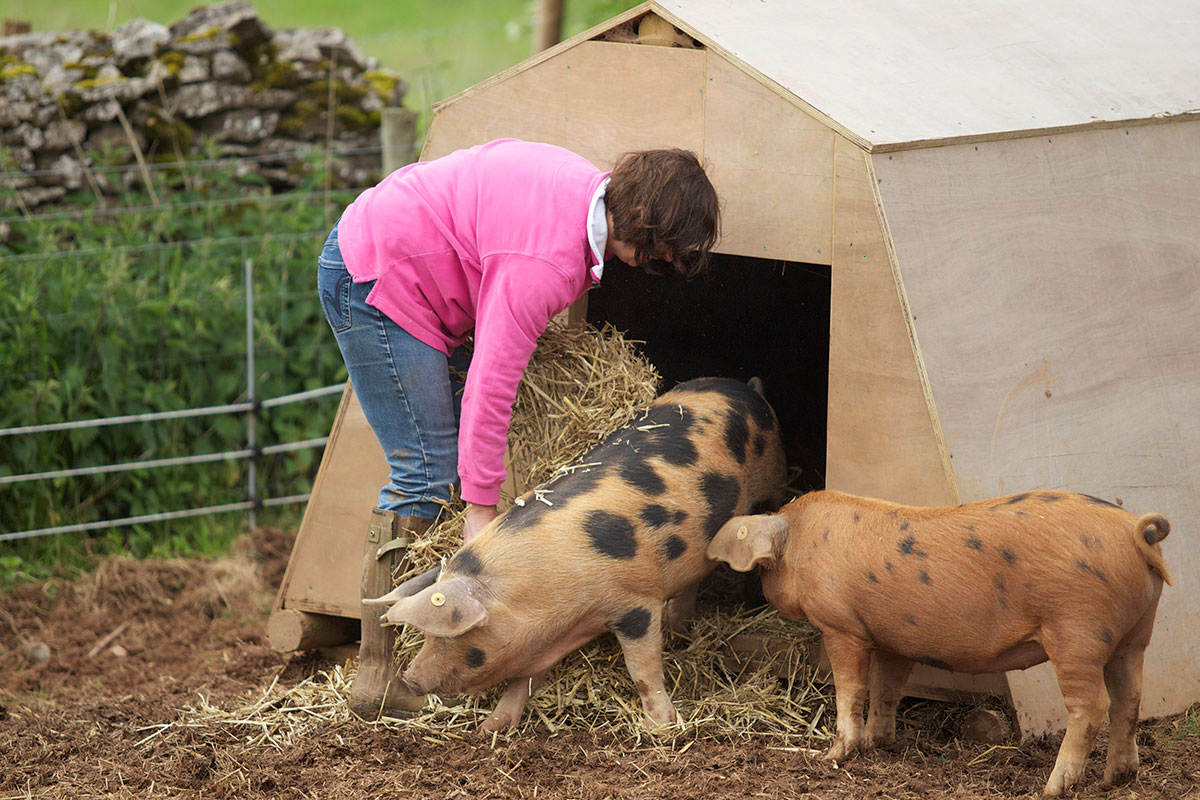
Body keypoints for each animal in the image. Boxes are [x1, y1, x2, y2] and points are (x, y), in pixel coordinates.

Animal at [365, 377, 787, 730]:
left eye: (448, 636)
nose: (409, 678)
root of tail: (745, 388)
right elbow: (522, 681)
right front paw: (492, 729)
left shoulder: (635, 604)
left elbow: (643, 669)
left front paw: (663, 727)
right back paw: (679, 626)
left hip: (770, 482)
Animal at [707, 490, 1173, 797]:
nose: (757, 592)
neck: (802, 540)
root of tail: (1136, 533)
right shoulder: (892, 639)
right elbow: (887, 687)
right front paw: (880, 744)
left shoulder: (841, 628)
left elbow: (851, 688)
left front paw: (833, 755)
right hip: (1135, 636)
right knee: (1130, 699)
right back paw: (1117, 779)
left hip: (1076, 631)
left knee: (1092, 706)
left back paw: (1053, 788)